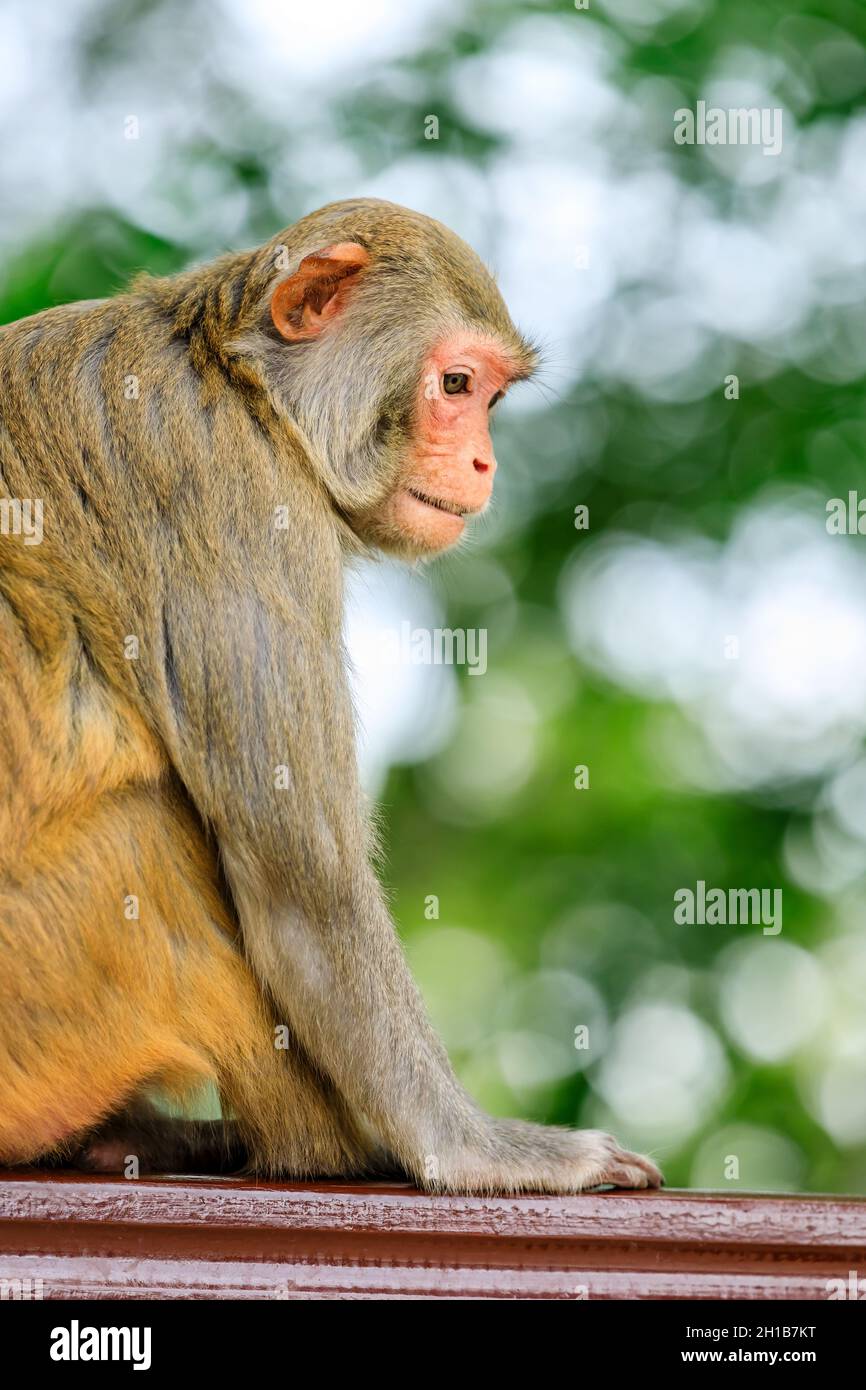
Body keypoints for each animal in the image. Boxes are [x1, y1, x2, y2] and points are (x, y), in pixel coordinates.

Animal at [0, 198, 661, 1194]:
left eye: (490, 401)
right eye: (456, 384)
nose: (484, 465)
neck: (237, 381)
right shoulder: (240, 499)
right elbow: (305, 884)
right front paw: (477, 1149)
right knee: (151, 839)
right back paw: (318, 1148)